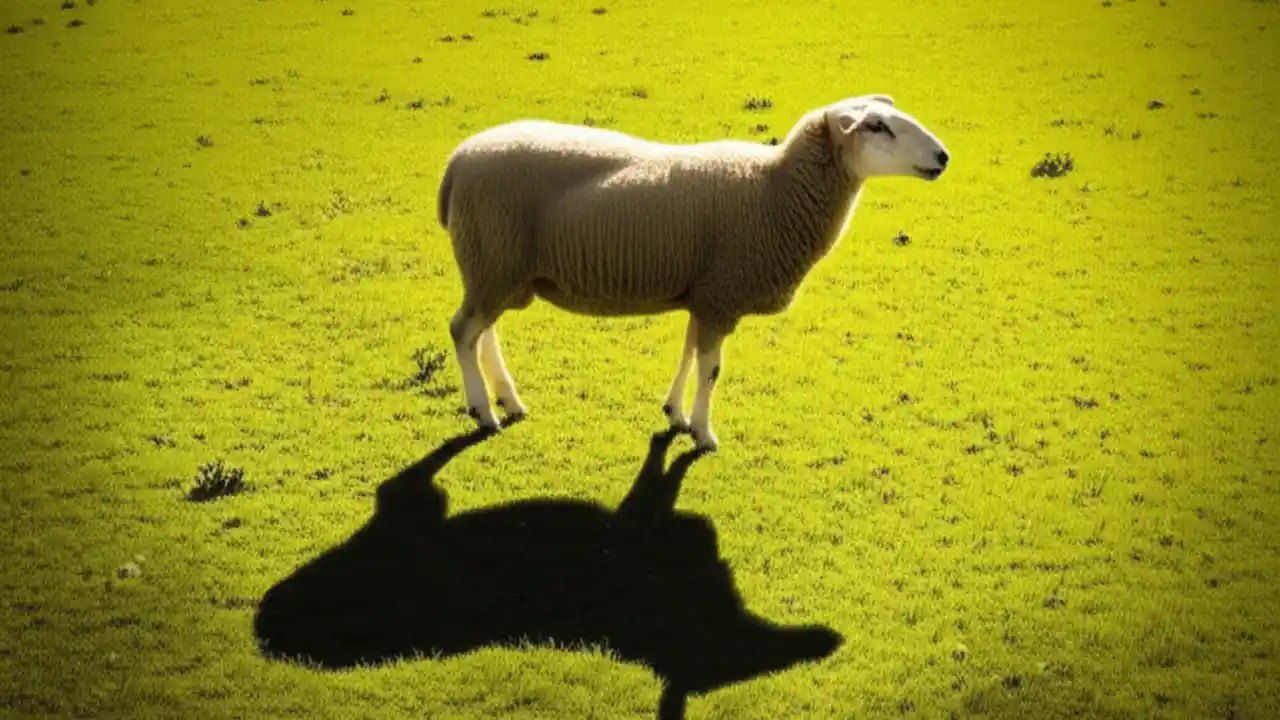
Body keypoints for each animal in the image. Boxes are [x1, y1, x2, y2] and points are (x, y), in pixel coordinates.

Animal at [437, 94, 949, 450]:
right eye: (877, 127)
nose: (943, 156)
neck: (775, 191)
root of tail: (458, 160)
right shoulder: (723, 294)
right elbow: (712, 368)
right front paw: (703, 434)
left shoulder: (704, 293)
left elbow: (688, 352)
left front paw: (676, 414)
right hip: (493, 259)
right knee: (463, 331)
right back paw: (484, 411)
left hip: (497, 268)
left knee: (483, 333)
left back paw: (508, 399)